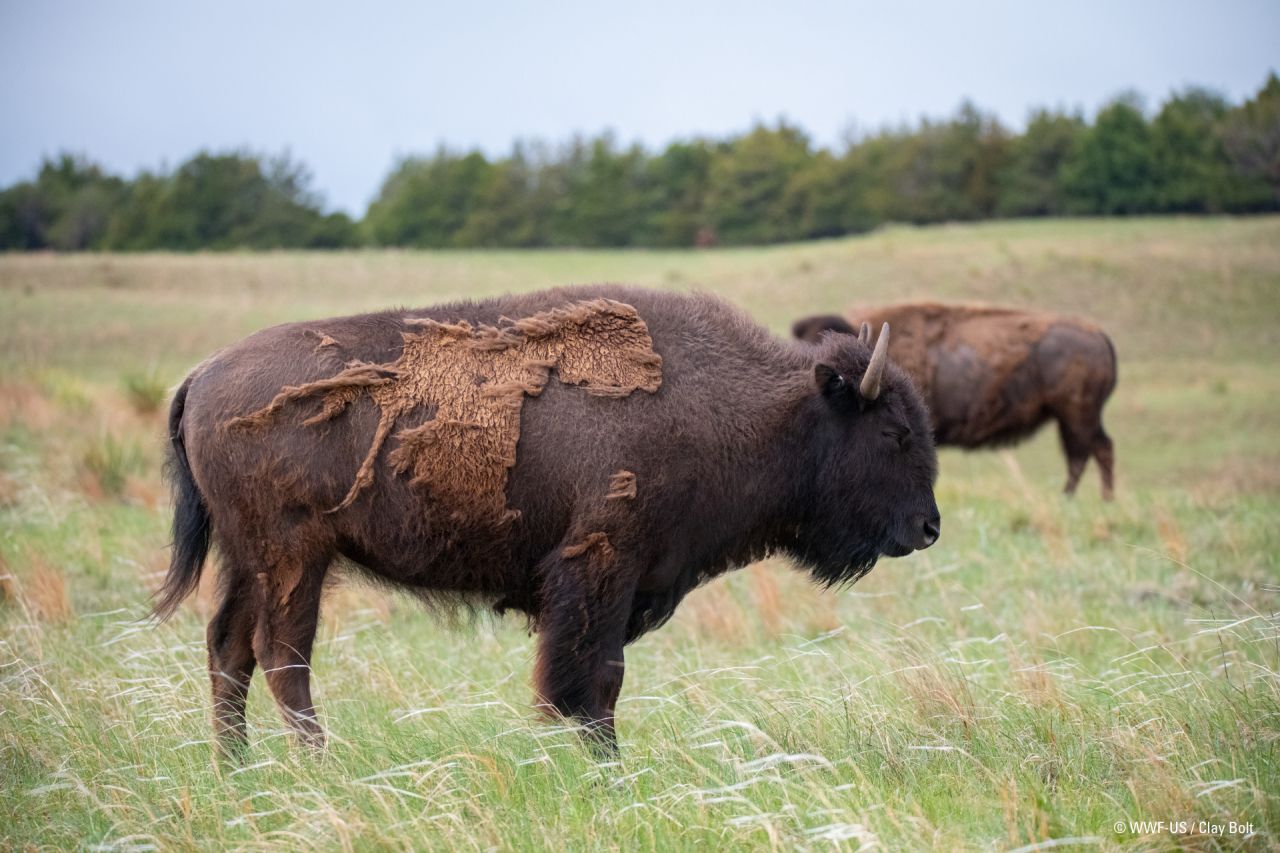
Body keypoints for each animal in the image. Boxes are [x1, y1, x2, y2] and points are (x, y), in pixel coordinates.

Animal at [156, 286, 940, 754]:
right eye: (894, 433)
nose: (929, 527)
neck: (760, 411)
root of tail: (200, 376)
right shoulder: (599, 570)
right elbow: (592, 679)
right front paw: (605, 764)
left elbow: (593, 679)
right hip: (293, 554)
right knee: (282, 654)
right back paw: (318, 762)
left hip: (249, 559)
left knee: (229, 649)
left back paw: (238, 769)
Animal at [793, 303, 1116, 499]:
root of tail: (1098, 334)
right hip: (1075, 418)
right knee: (1089, 451)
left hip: (1077, 415)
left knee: (1089, 452)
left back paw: (1087, 499)